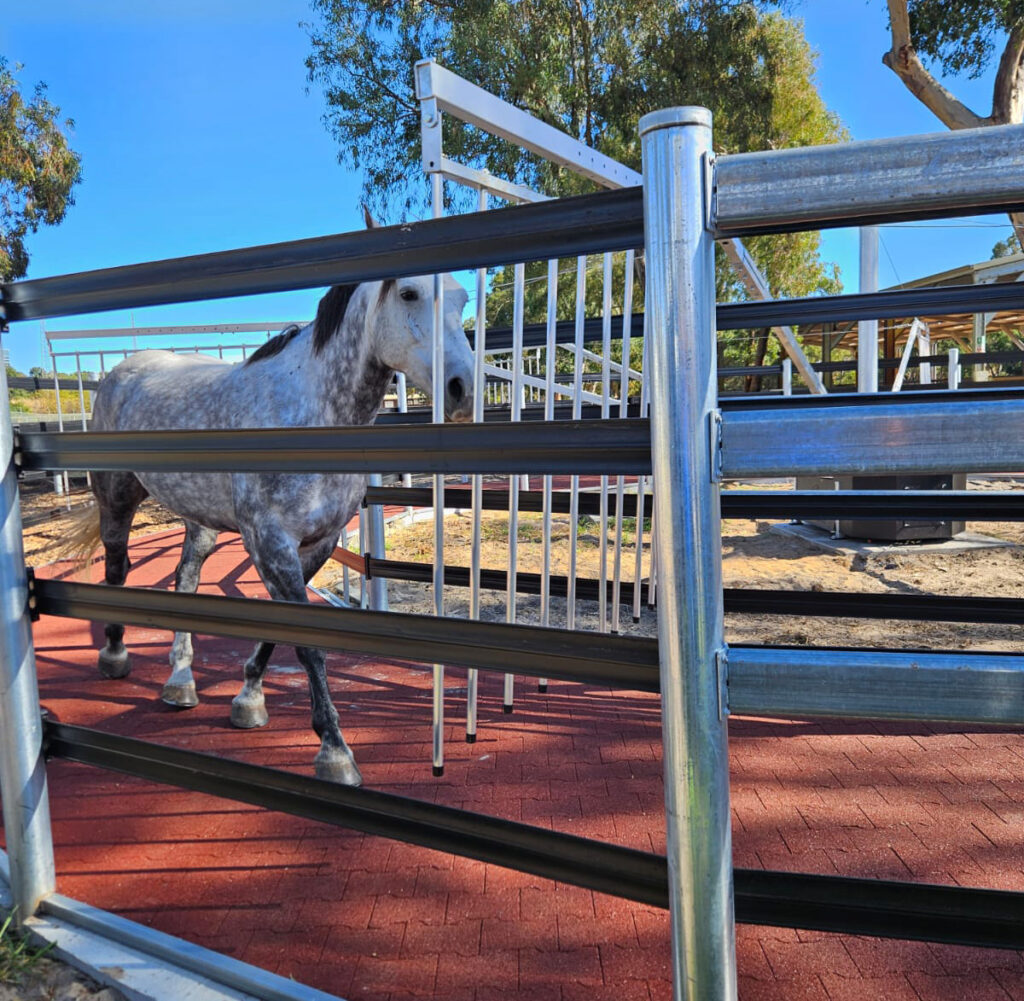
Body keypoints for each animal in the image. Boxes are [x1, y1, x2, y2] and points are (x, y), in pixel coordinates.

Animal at [79, 231, 474, 786]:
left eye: (462, 301)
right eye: (409, 294)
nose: (462, 388)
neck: (310, 415)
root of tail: (121, 371)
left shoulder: (317, 544)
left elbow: (278, 623)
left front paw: (248, 700)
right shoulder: (271, 543)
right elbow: (307, 644)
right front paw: (335, 751)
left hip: (198, 517)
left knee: (186, 576)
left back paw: (181, 679)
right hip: (116, 497)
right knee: (117, 566)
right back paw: (114, 654)